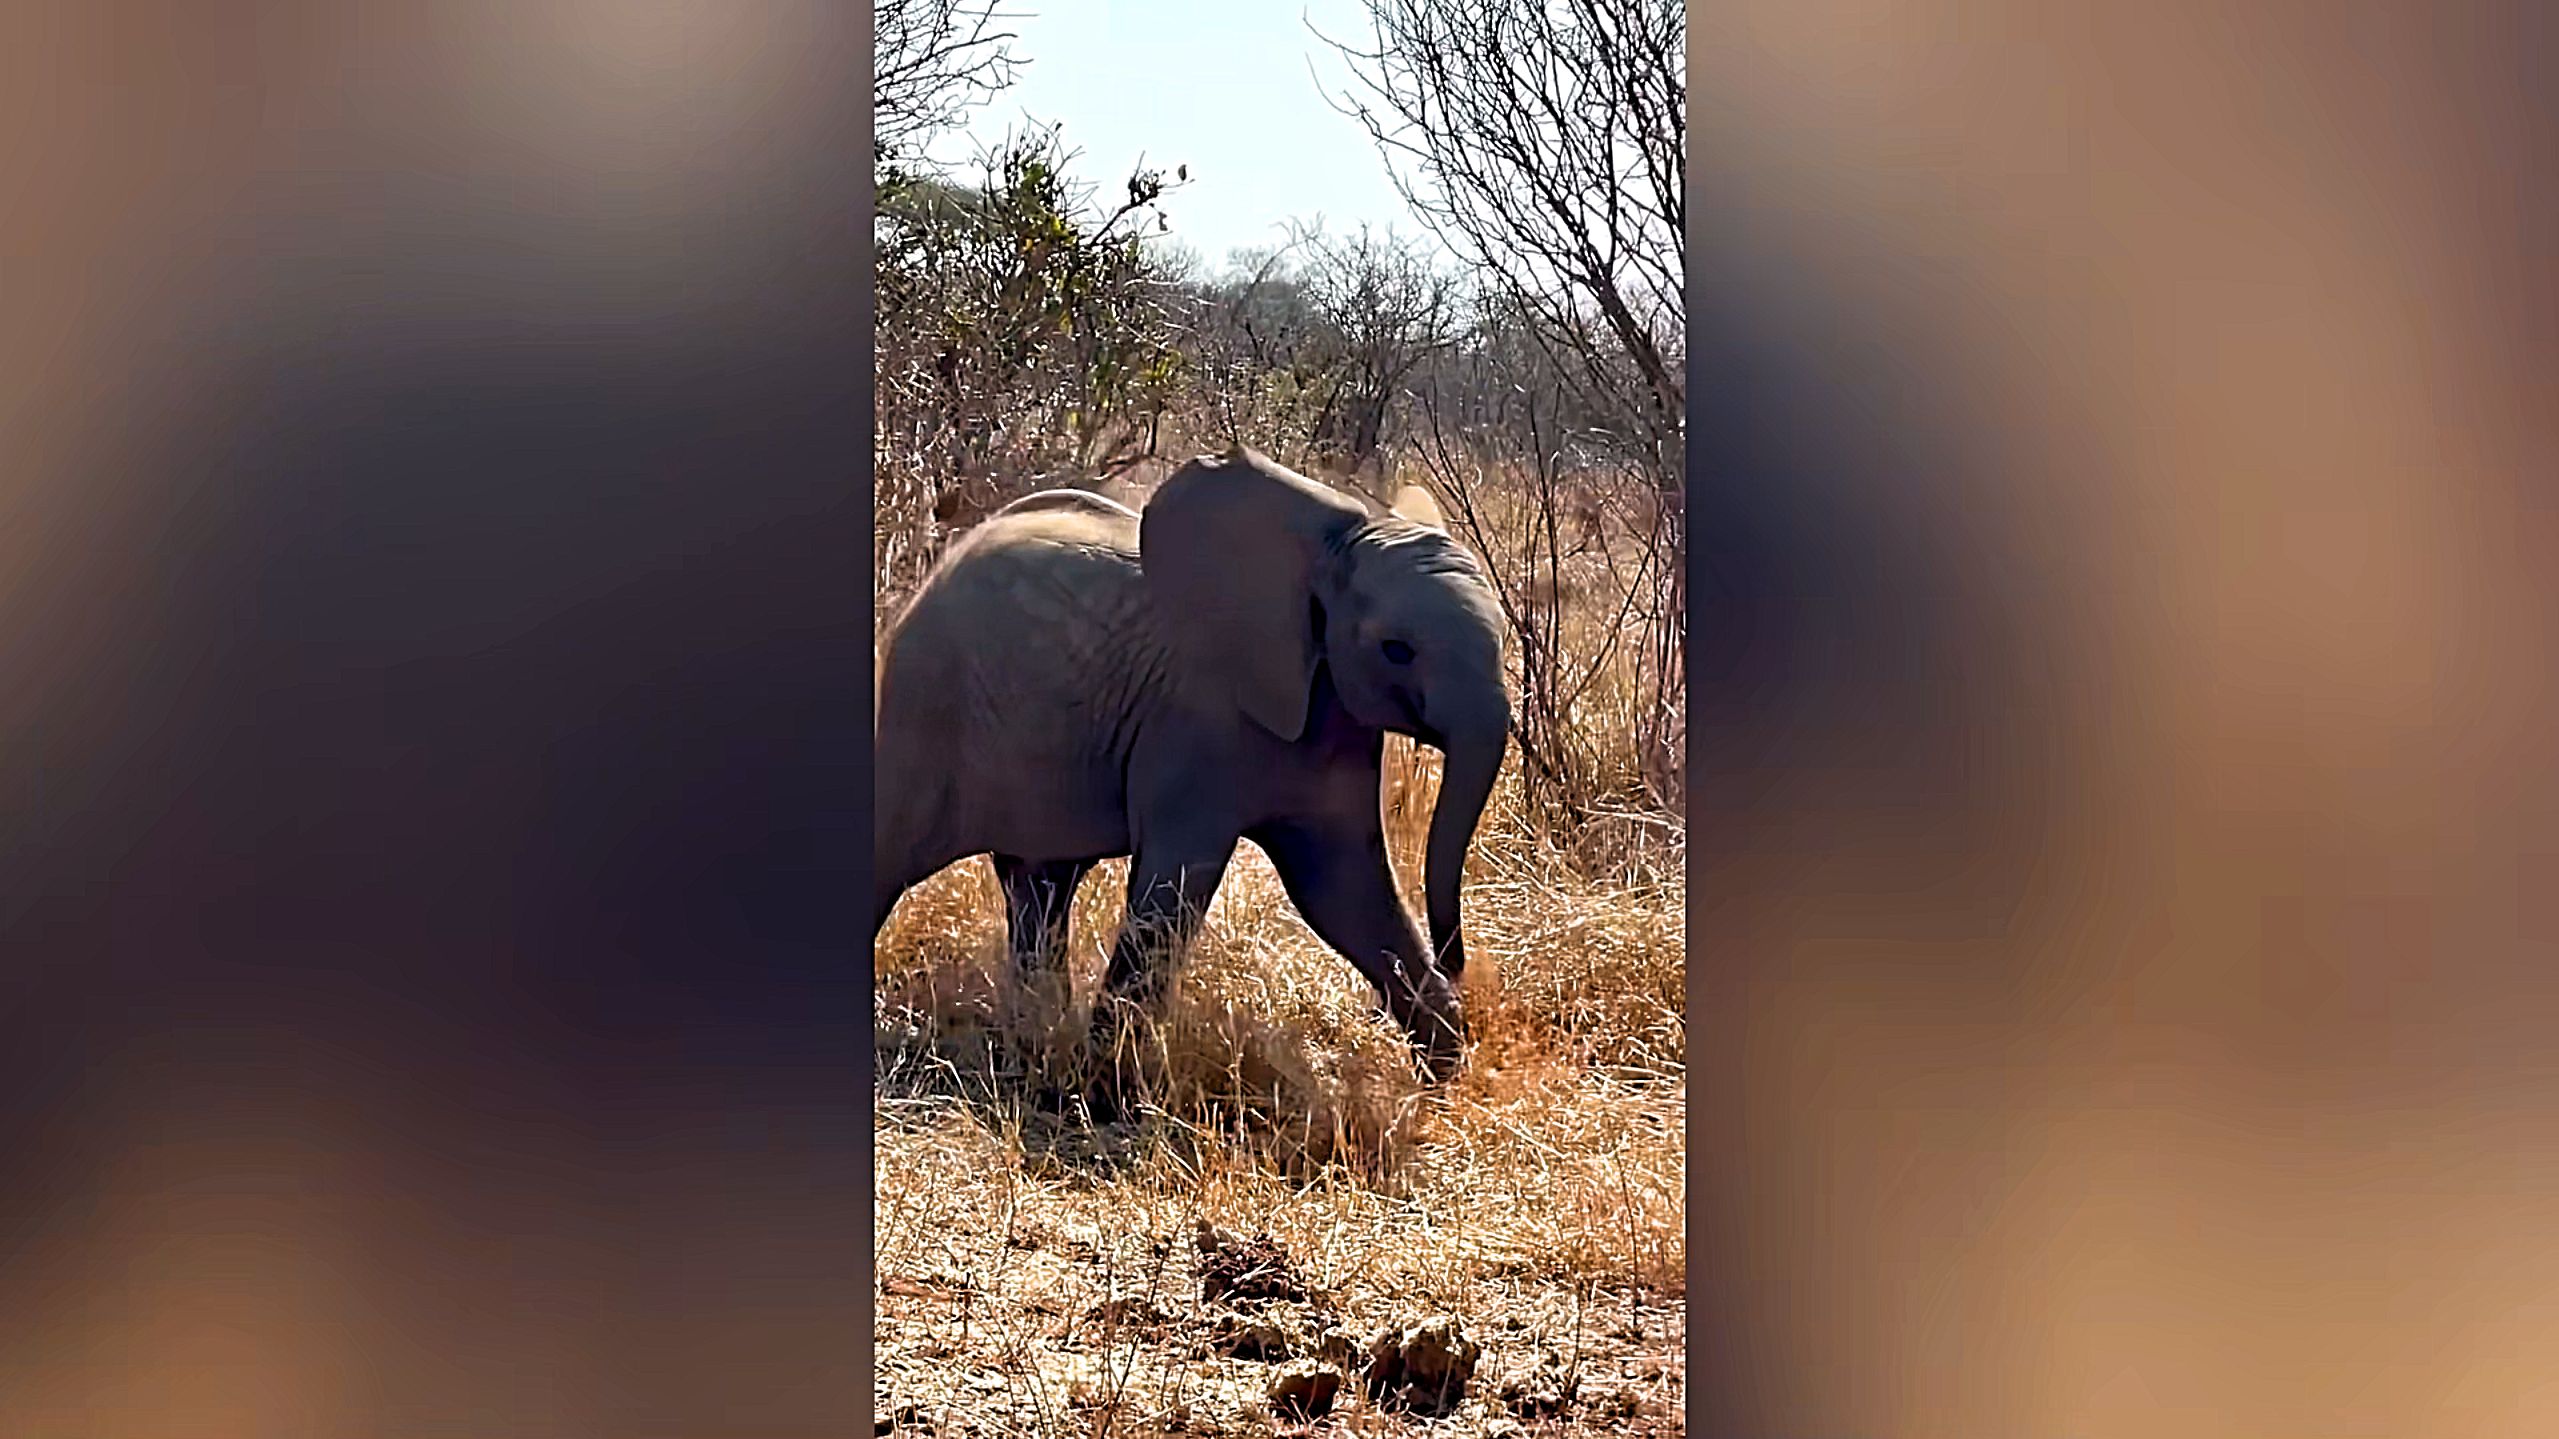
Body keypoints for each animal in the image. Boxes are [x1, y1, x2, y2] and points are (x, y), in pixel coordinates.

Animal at [872, 445, 1513, 1080]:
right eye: (1396, 650)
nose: (1459, 959)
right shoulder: (1195, 719)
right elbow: (1176, 889)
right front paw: (1108, 1086)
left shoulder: (1332, 713)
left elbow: (1343, 890)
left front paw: (1443, 1078)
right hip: (927, 705)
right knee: (896, 855)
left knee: (1041, 884)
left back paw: (1035, 1049)